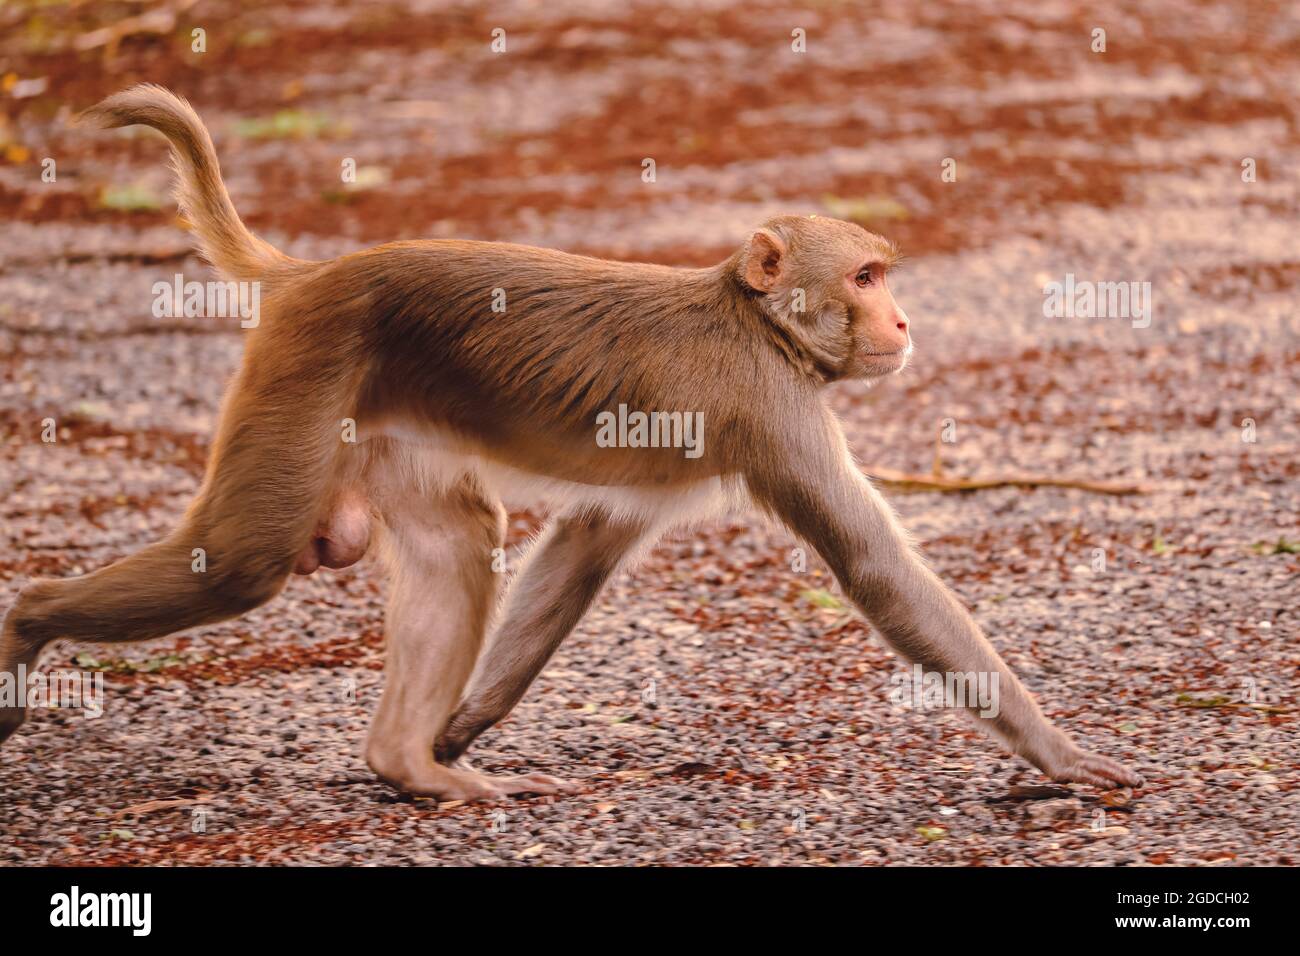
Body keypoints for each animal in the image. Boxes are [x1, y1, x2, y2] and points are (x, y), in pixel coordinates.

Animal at [0, 86, 1142, 801]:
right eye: (866, 278)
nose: (902, 320)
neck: (760, 322)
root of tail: (309, 273)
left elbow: (583, 548)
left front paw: (464, 719)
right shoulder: (773, 409)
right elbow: (873, 567)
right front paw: (1058, 752)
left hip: (375, 411)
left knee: (460, 539)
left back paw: (412, 764)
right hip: (305, 372)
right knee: (239, 561)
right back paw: (28, 622)